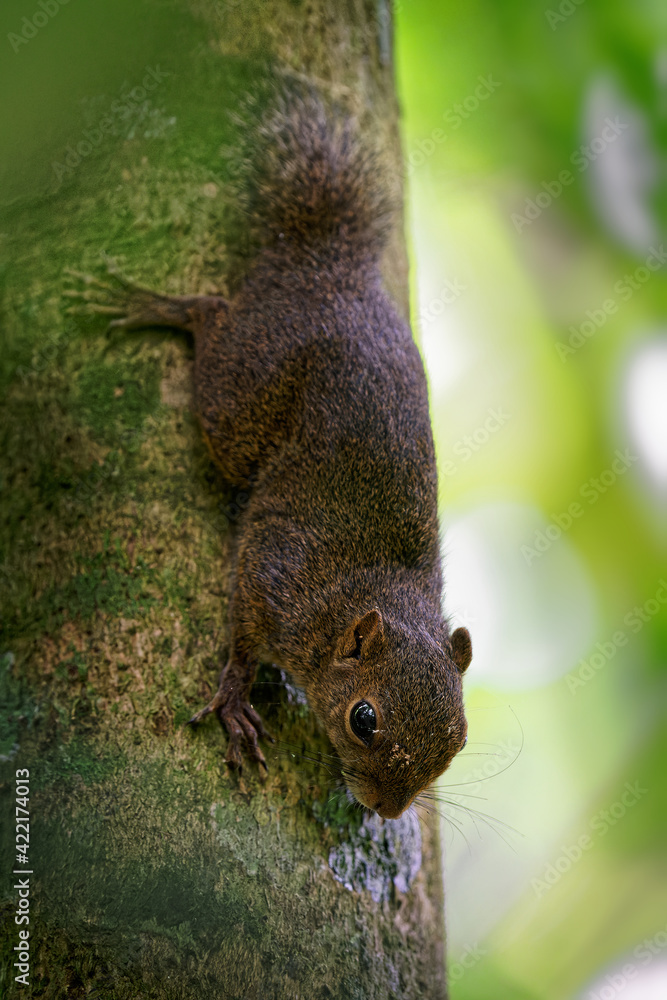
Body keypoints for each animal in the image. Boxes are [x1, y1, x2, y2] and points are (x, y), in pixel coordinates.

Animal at [67, 94, 472, 820]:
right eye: (363, 719)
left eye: (456, 739)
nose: (387, 810)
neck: (357, 597)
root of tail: (324, 264)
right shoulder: (274, 581)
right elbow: (240, 637)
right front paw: (234, 702)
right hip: (240, 394)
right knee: (210, 317)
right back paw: (160, 306)